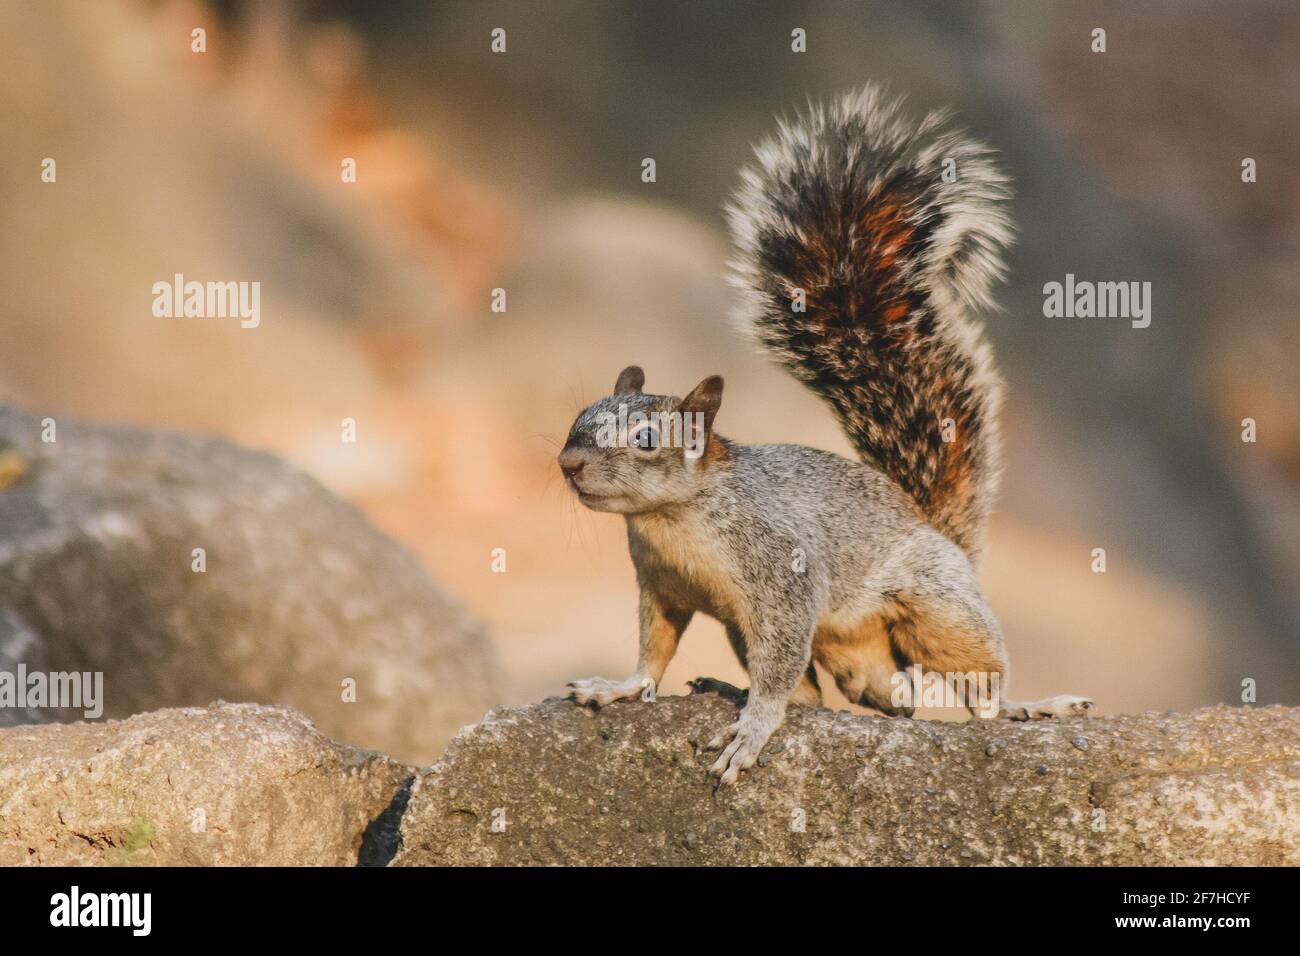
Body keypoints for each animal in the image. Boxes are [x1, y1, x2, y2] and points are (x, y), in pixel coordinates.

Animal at [559, 85, 1092, 786]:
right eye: (578, 418)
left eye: (647, 438)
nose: (567, 463)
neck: (672, 520)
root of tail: (934, 528)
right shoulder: (662, 587)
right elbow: (655, 648)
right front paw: (621, 687)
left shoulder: (782, 573)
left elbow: (777, 665)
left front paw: (751, 731)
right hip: (801, 643)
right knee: (846, 699)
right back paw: (736, 687)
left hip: (937, 606)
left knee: (976, 683)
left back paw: (1029, 706)